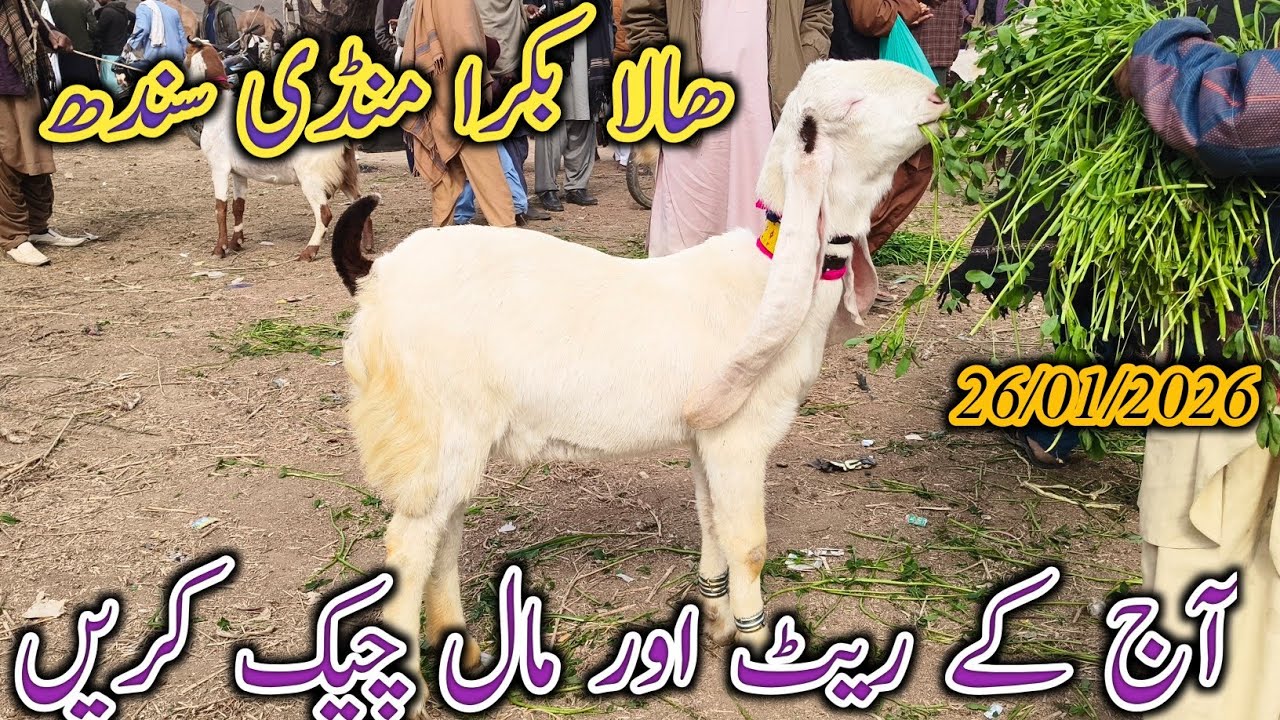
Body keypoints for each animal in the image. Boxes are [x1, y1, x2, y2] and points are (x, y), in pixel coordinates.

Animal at [184, 40, 372, 261]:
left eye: (186, 54)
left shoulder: (219, 166)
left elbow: (220, 207)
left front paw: (219, 249)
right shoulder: (238, 172)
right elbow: (238, 206)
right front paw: (236, 243)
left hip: (313, 177)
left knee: (325, 213)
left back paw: (309, 251)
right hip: (345, 173)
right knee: (360, 203)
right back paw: (366, 246)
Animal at [330, 60, 946, 711]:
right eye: (850, 104)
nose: (939, 97)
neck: (767, 278)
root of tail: (376, 279)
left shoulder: (706, 439)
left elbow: (710, 522)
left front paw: (716, 618)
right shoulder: (738, 437)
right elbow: (749, 544)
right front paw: (757, 648)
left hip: (451, 443)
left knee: (444, 535)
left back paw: (463, 653)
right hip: (431, 429)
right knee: (409, 547)